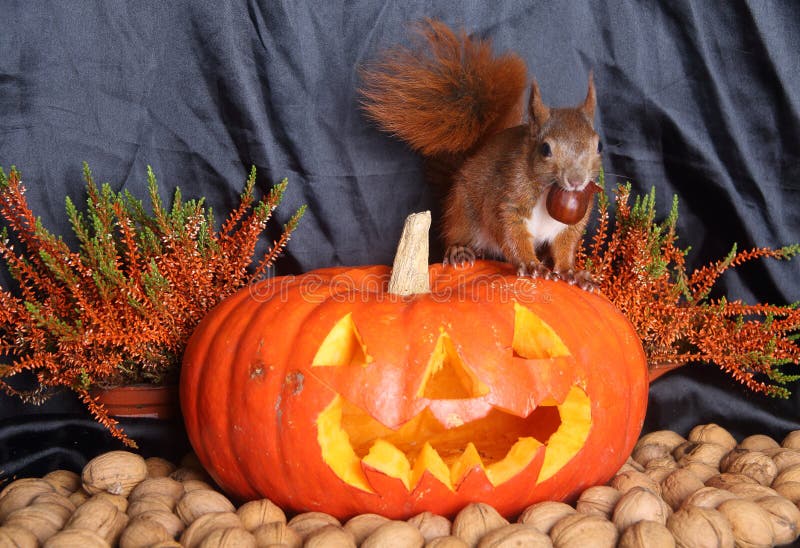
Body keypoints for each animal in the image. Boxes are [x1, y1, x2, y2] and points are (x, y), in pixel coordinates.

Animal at [360, 20, 602, 290]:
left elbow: (565, 246)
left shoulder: (572, 222)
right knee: (457, 232)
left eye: (598, 146)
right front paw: (531, 265)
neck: (549, 190)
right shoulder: (508, 197)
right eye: (545, 149)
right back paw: (460, 251)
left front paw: (572, 272)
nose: (576, 181)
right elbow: (509, 231)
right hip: (462, 211)